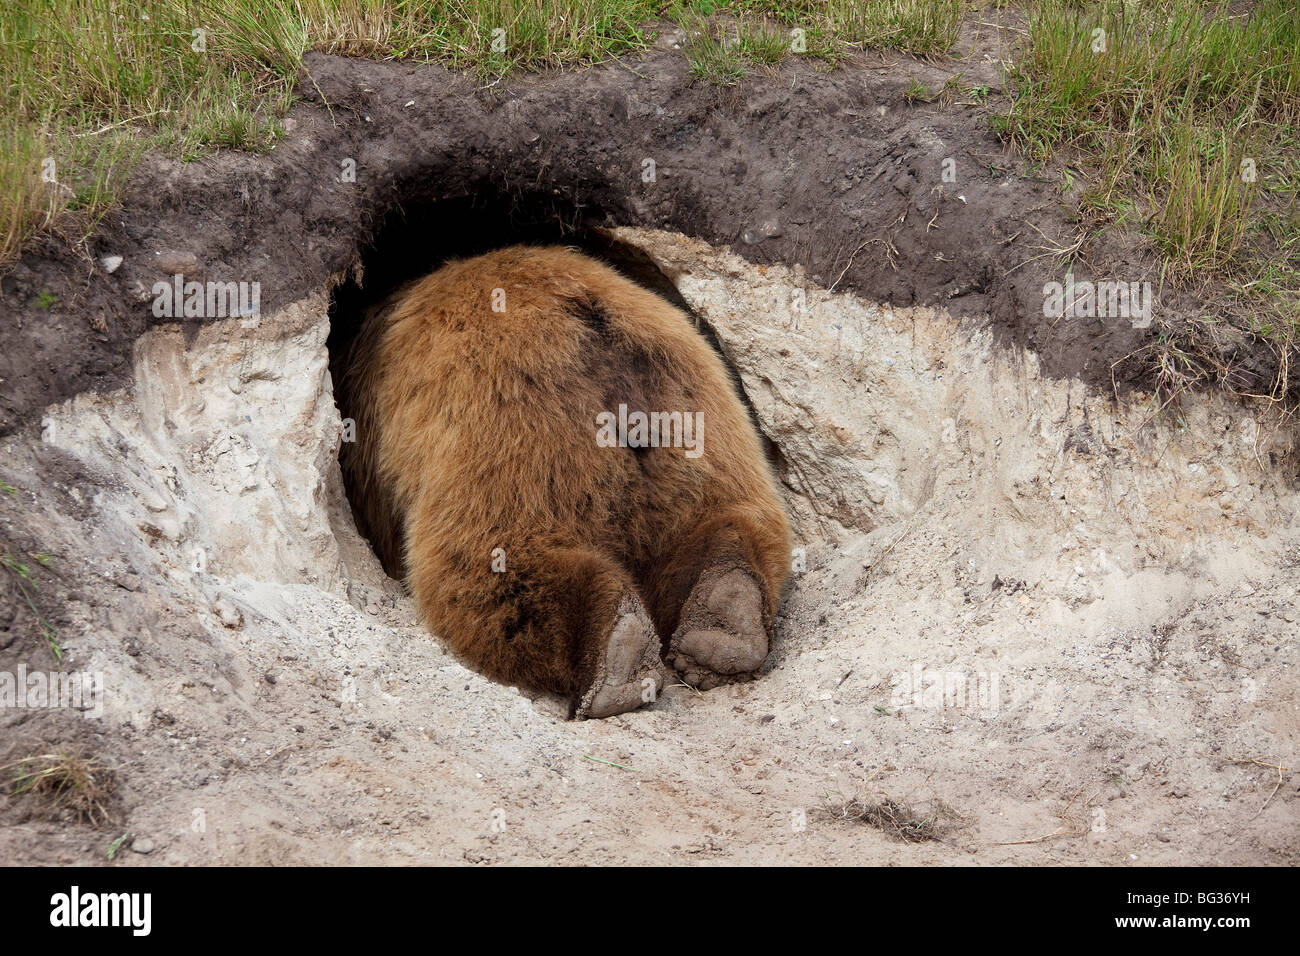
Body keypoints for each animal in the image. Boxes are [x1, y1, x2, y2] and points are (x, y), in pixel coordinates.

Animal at [334, 245, 792, 718]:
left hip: (511, 428)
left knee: (487, 562)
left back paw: (619, 653)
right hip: (699, 426)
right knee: (726, 516)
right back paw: (723, 617)